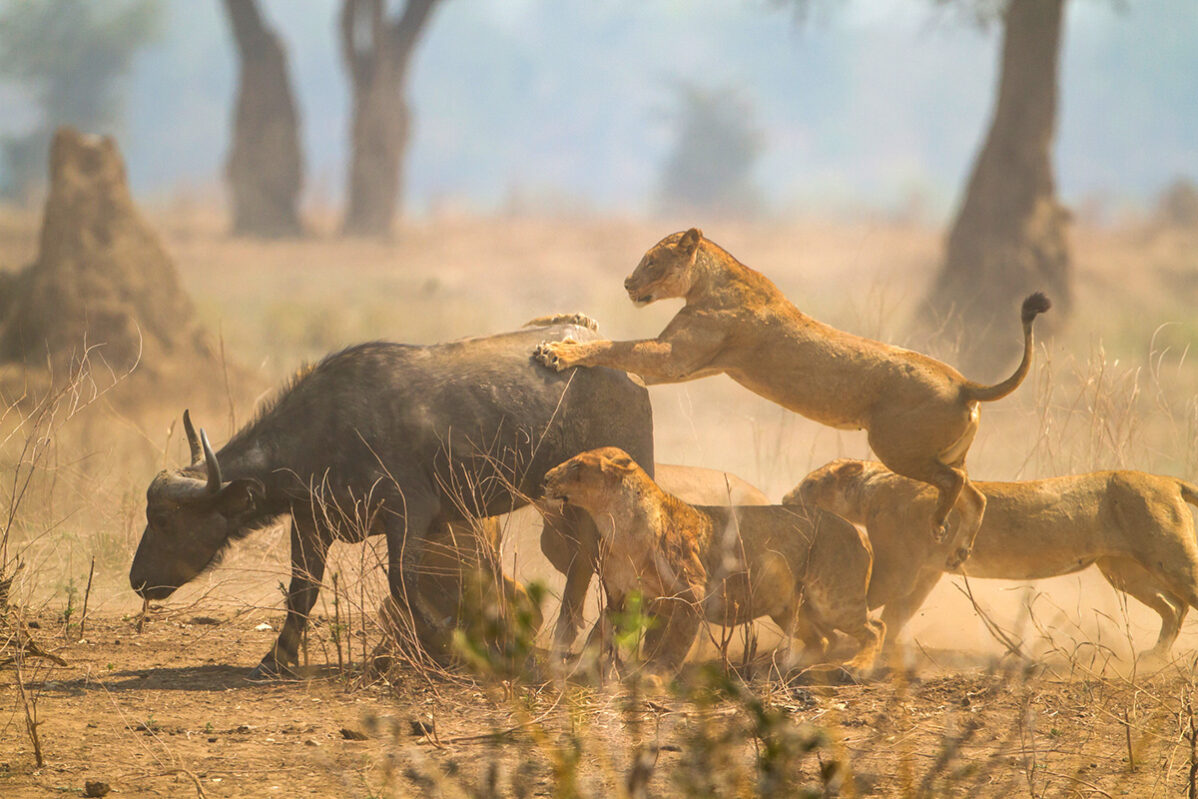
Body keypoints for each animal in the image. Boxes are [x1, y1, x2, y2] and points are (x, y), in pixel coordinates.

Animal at [533, 228, 1051, 569]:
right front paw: (559, 323)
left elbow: (616, 346)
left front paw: (559, 351)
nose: (627, 283)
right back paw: (960, 547)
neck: (711, 277)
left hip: (896, 446)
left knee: (954, 483)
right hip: (942, 451)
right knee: (975, 492)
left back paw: (940, 525)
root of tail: (965, 382)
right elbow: (619, 348)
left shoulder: (673, 356)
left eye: (651, 261)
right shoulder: (691, 363)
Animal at [542, 447, 884, 682]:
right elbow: (598, 633)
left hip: (833, 599)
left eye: (576, 465)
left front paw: (655, 675)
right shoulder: (621, 597)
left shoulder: (691, 592)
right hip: (788, 607)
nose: (545, 477)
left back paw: (857, 667)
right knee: (825, 639)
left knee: (873, 629)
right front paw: (576, 667)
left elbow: (673, 642)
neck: (615, 523)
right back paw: (784, 665)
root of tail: (859, 532)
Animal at [789, 458, 1198, 661]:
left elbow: (858, 603)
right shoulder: (925, 572)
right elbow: (897, 614)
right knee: (1173, 608)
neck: (871, 488)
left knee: (1182, 601)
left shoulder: (897, 568)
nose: (786, 497)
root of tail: (1169, 480)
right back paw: (1155, 655)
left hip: (1168, 557)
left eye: (809, 485)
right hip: (1125, 570)